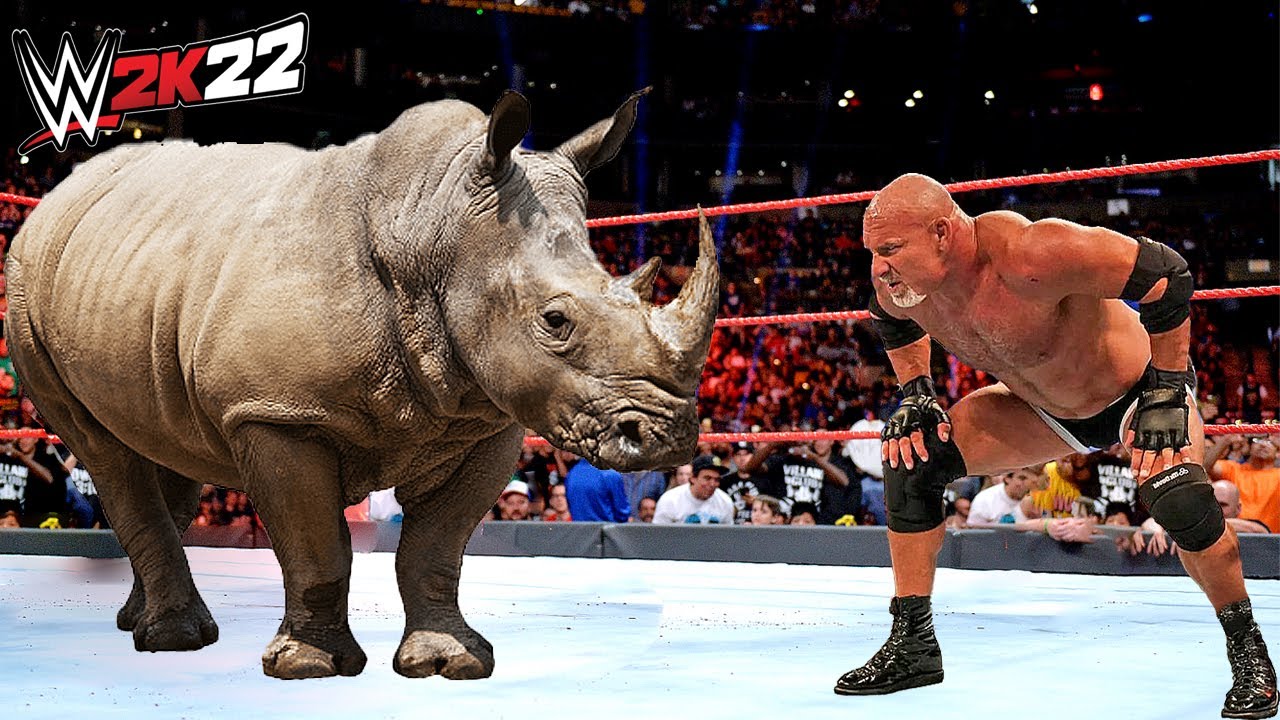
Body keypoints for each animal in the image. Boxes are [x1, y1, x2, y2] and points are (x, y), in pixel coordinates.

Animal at [5, 89, 719, 679]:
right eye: (555, 321)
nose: (666, 436)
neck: (436, 232)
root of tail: (57, 197)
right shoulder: (276, 411)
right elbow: (319, 546)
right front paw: (309, 667)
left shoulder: (489, 421)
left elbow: (435, 548)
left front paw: (452, 662)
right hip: (23, 287)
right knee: (105, 451)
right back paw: (175, 640)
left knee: (162, 446)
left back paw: (138, 621)